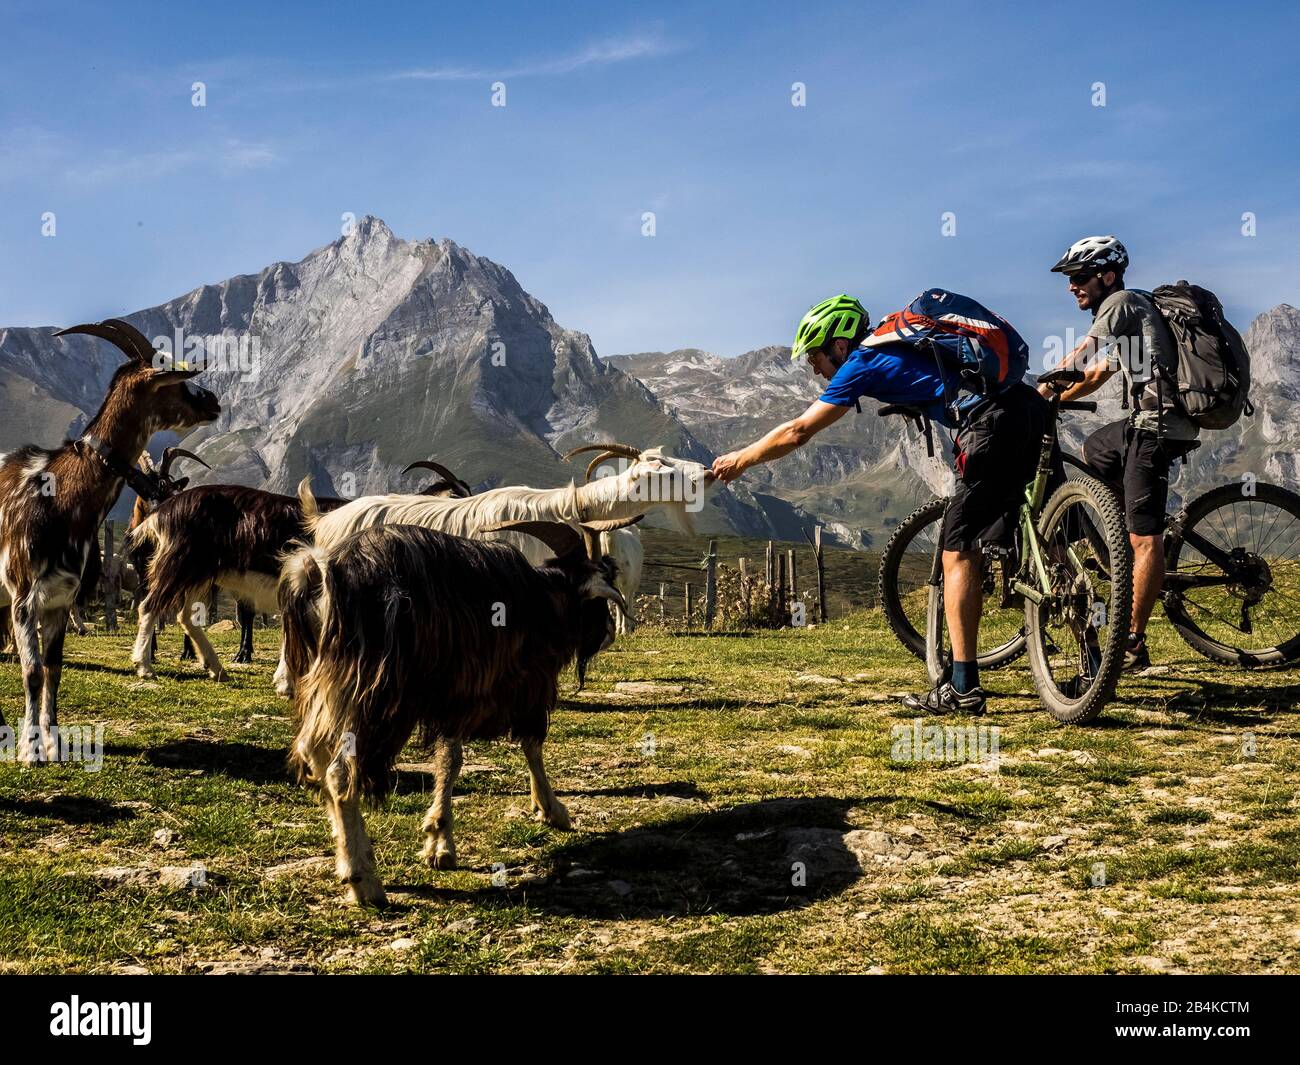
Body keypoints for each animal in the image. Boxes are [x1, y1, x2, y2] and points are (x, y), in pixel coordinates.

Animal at [0, 319, 220, 762]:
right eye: (175, 380)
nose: (214, 402)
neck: (61, 496)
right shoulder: (23, 597)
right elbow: (32, 672)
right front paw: (30, 749)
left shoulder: (60, 597)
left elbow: (53, 669)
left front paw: (52, 742)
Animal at [281, 519, 624, 906]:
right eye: (598, 599)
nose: (608, 634)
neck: (541, 597)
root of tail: (322, 574)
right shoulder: (508, 686)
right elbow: (522, 746)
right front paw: (552, 810)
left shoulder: (455, 695)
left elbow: (450, 759)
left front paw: (438, 841)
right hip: (371, 695)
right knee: (340, 772)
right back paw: (364, 880)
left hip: (322, 684)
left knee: (313, 754)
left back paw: (346, 862)